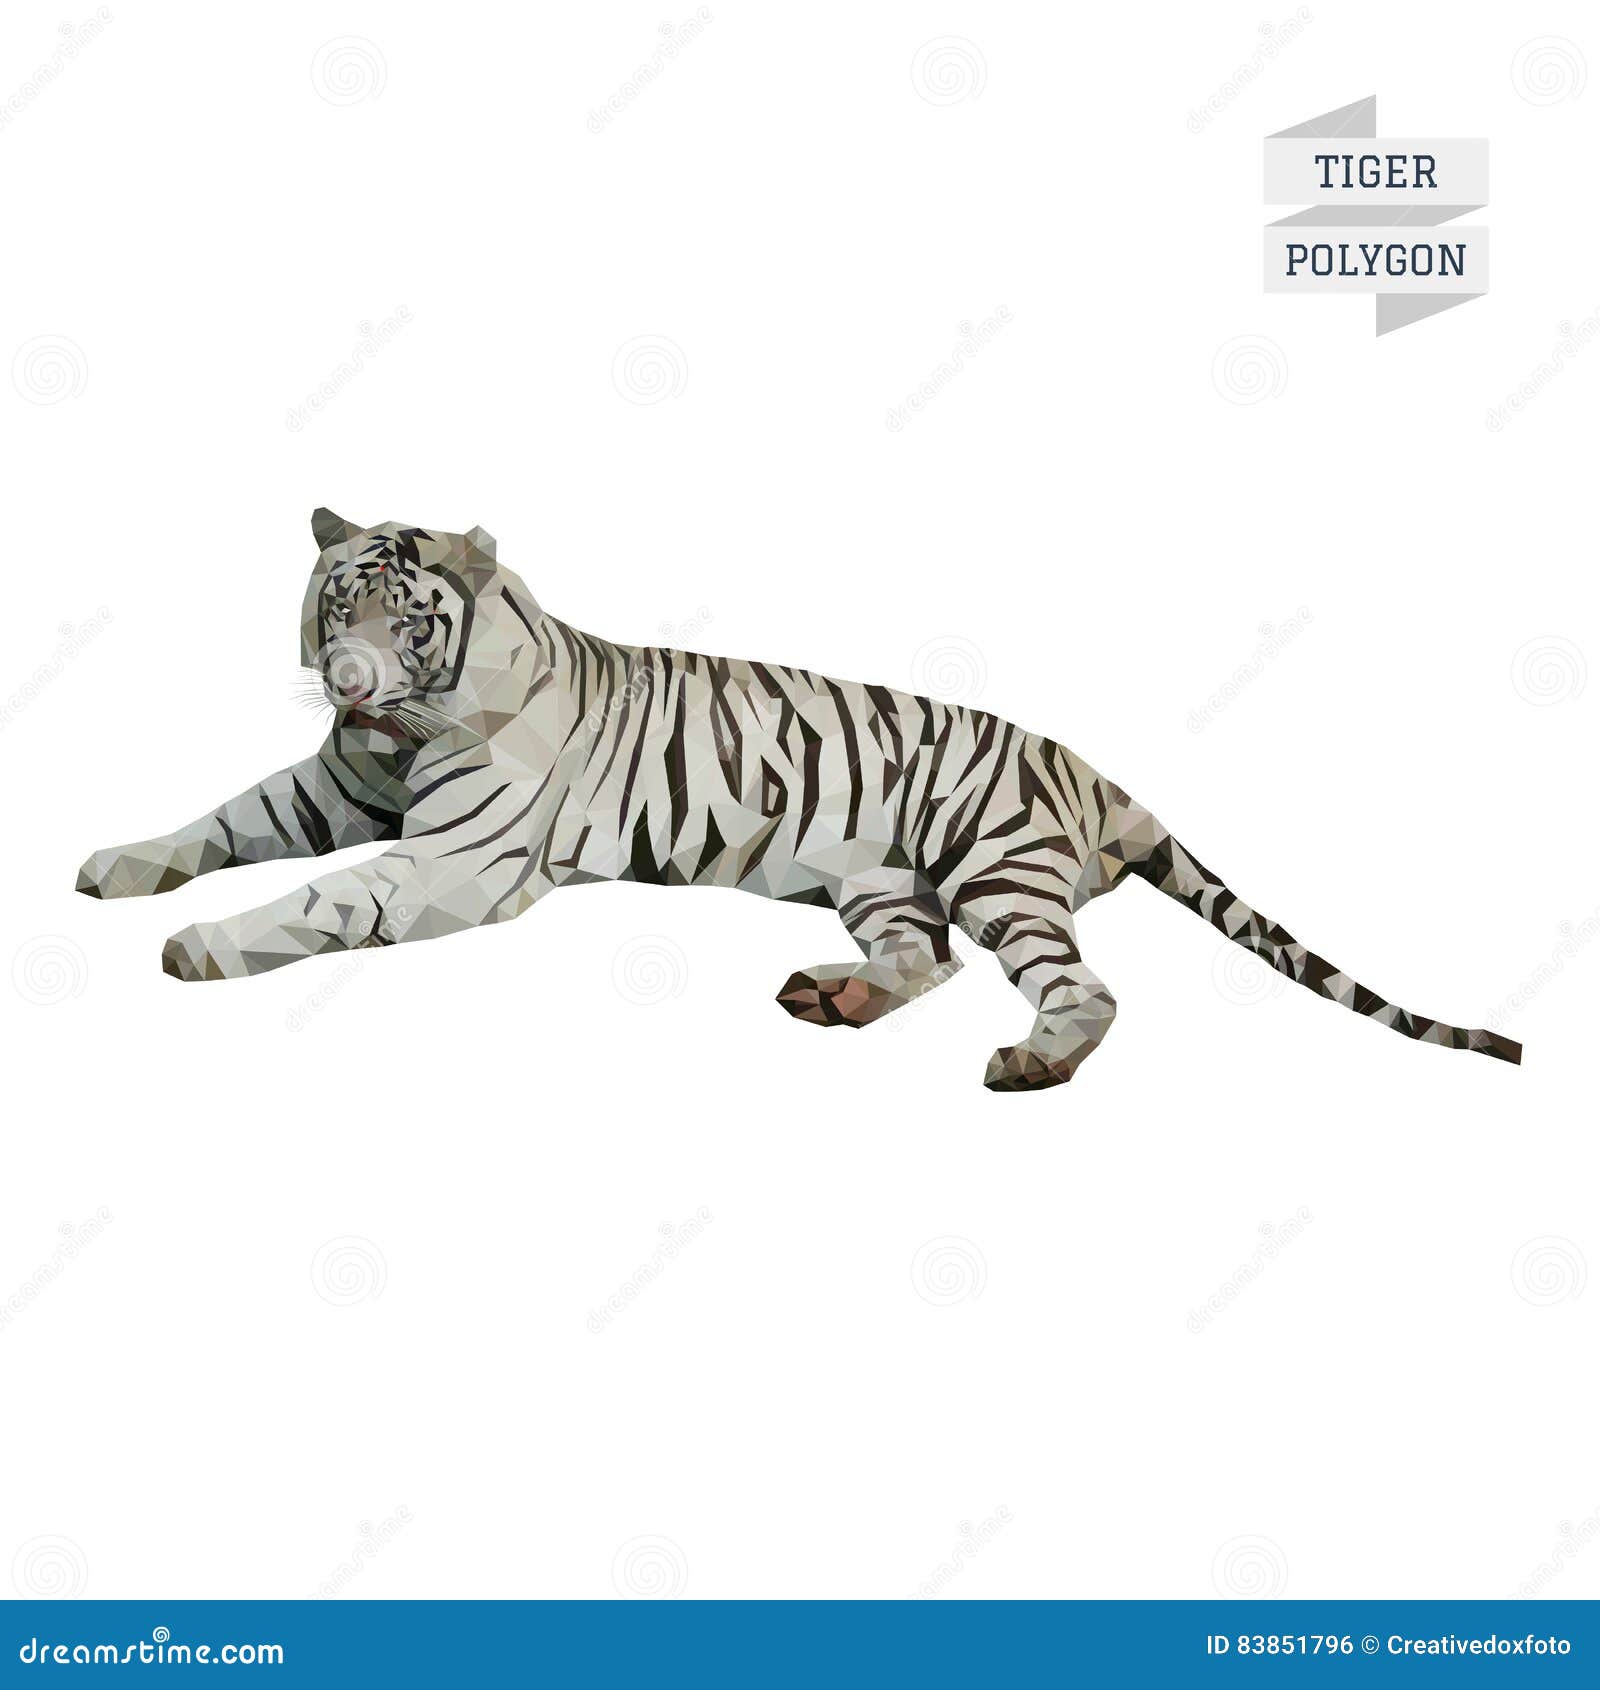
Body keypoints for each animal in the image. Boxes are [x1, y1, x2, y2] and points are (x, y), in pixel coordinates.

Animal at [76, 509, 1523, 1090]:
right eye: (338, 604)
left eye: (405, 615)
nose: (352, 680)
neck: (397, 736)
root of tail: (1097, 772)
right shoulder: (333, 781)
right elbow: (220, 818)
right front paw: (115, 863)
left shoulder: (451, 865)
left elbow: (318, 897)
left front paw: (197, 945)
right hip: (882, 877)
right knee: (923, 958)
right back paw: (839, 997)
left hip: (997, 865)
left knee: (1082, 987)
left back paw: (1030, 1064)